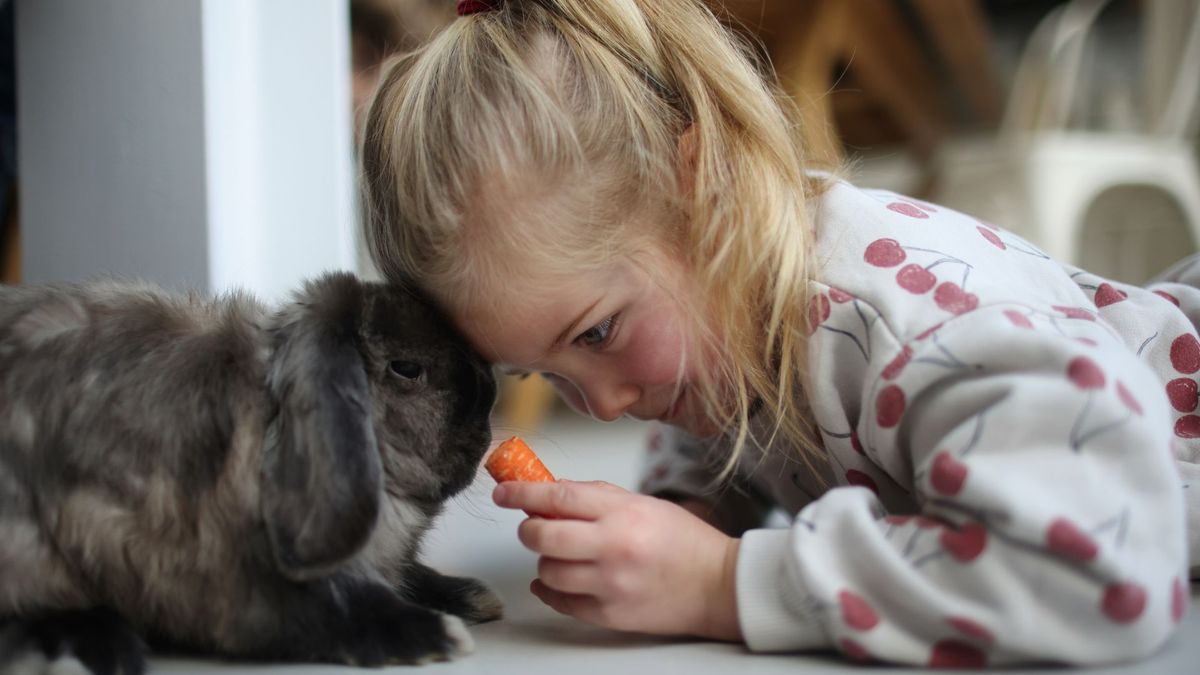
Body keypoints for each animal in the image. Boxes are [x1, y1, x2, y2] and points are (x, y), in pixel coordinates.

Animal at [0, 271, 502, 674]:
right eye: (406, 368)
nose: (490, 392)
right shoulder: (244, 585)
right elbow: (336, 610)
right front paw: (439, 635)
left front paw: (472, 595)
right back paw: (102, 651)